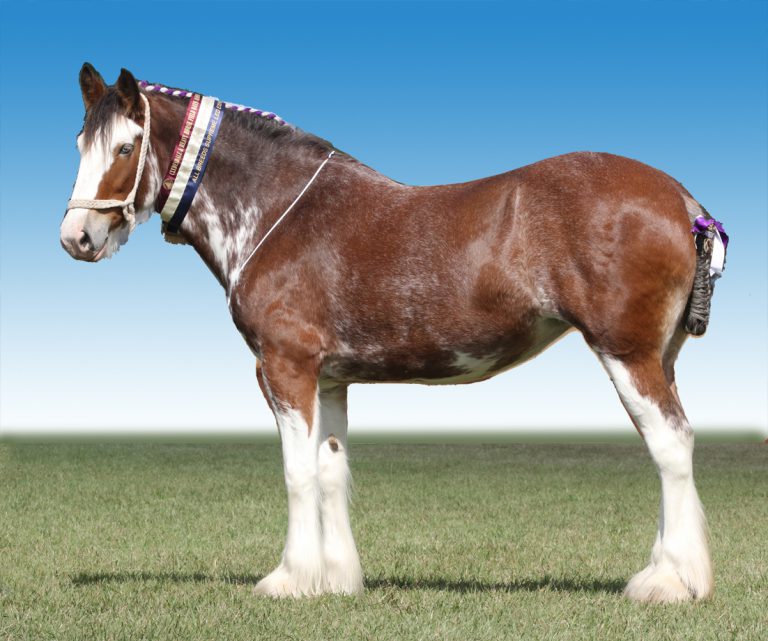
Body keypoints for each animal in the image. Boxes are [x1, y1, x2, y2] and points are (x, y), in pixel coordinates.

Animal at [60, 63, 728, 602]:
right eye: (80, 144)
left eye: (125, 147)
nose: (76, 238)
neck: (280, 210)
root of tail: (683, 200)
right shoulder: (330, 379)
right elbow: (331, 471)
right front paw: (335, 580)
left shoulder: (284, 367)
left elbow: (297, 472)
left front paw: (289, 580)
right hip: (659, 357)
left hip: (627, 353)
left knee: (670, 447)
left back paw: (669, 584)